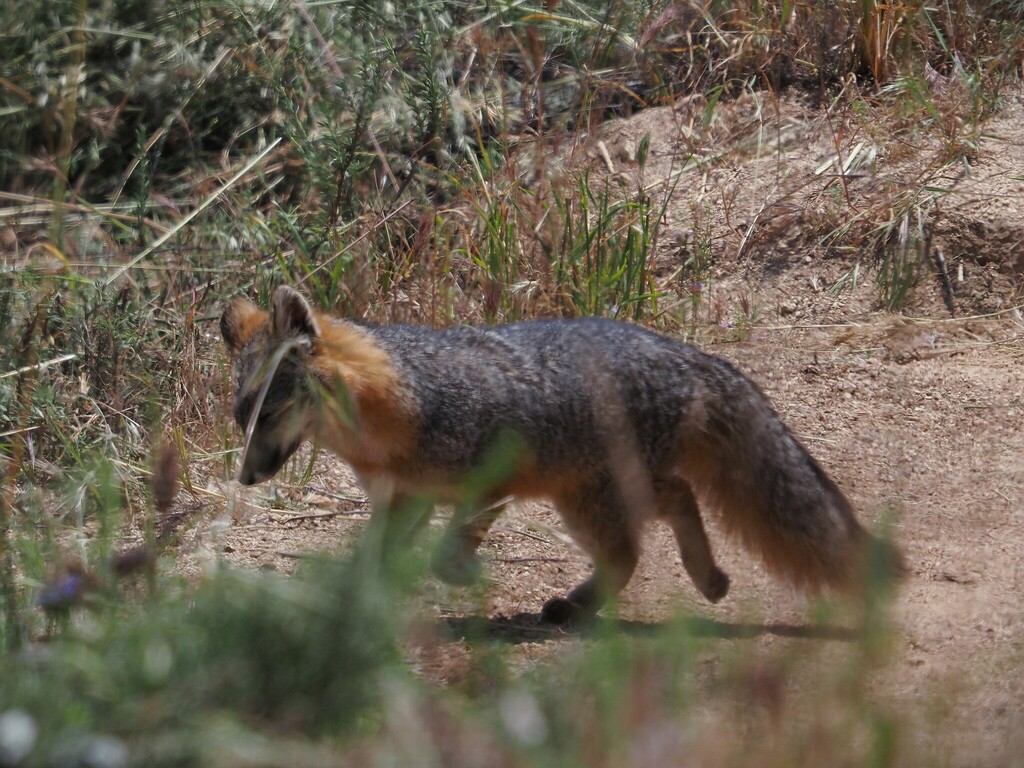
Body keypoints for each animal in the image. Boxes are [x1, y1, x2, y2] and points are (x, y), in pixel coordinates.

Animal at [220, 285, 904, 624]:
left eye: (267, 412)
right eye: (240, 418)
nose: (247, 479)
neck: (402, 403)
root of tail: (692, 354)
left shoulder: (488, 483)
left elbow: (446, 555)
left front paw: (469, 577)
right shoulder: (404, 499)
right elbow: (372, 565)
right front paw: (351, 611)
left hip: (586, 495)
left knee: (632, 548)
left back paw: (589, 604)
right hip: (587, 490)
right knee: (672, 503)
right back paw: (703, 578)